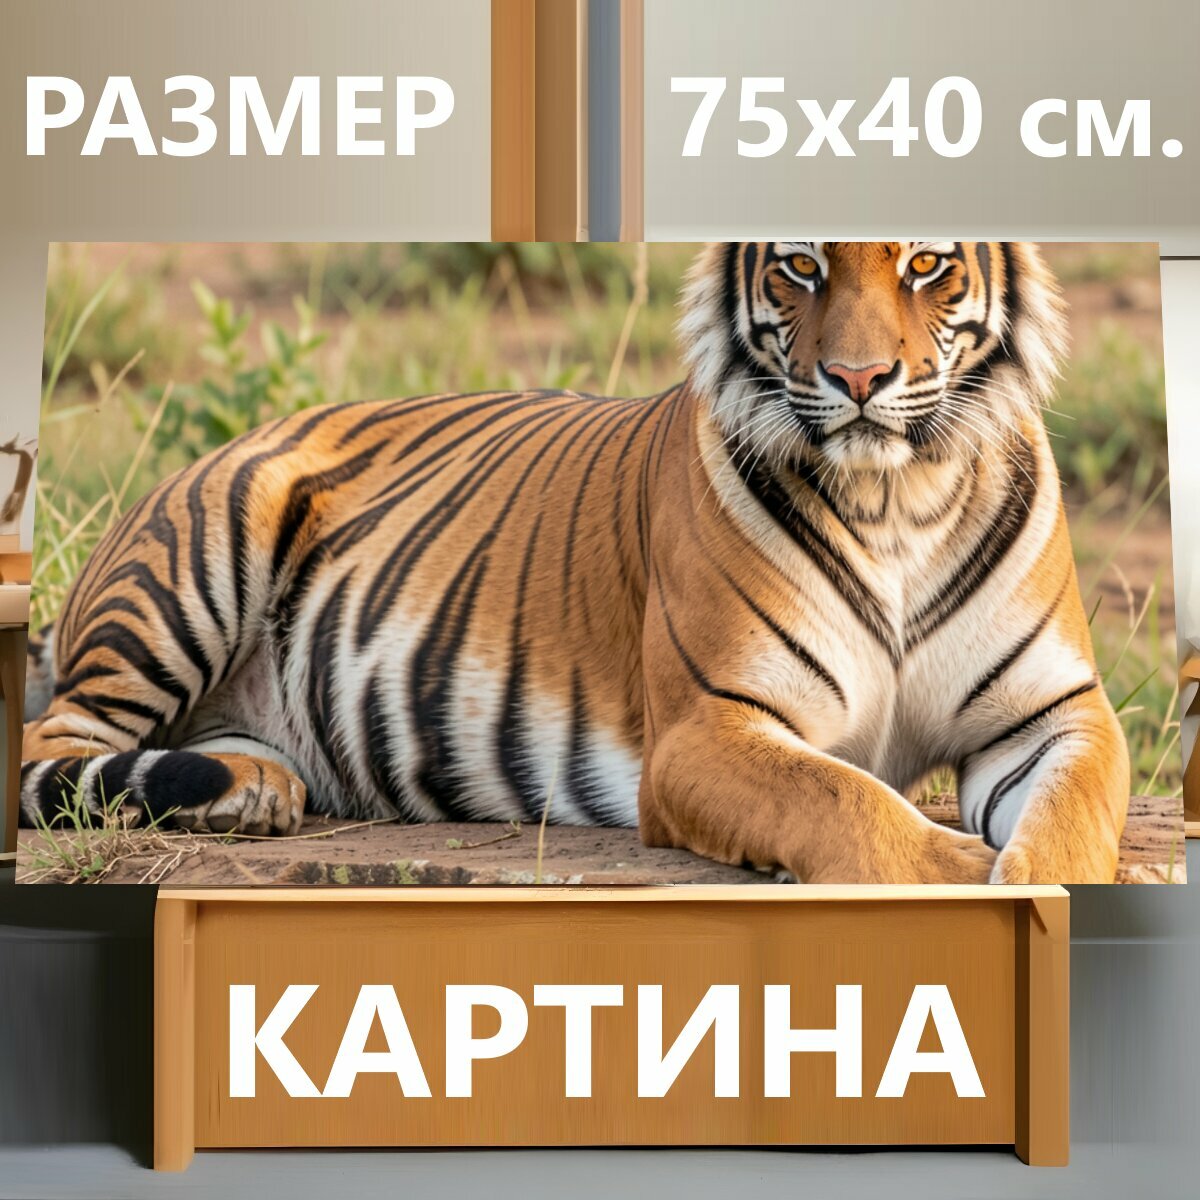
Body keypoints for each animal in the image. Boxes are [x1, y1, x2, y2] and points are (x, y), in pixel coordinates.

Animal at [20, 241, 1130, 883]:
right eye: (802, 266)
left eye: (928, 266)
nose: (857, 378)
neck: (900, 495)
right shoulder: (707, 731)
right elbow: (852, 807)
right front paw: (959, 872)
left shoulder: (1056, 712)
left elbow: (1071, 824)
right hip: (196, 564)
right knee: (50, 744)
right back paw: (239, 789)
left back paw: (255, 786)